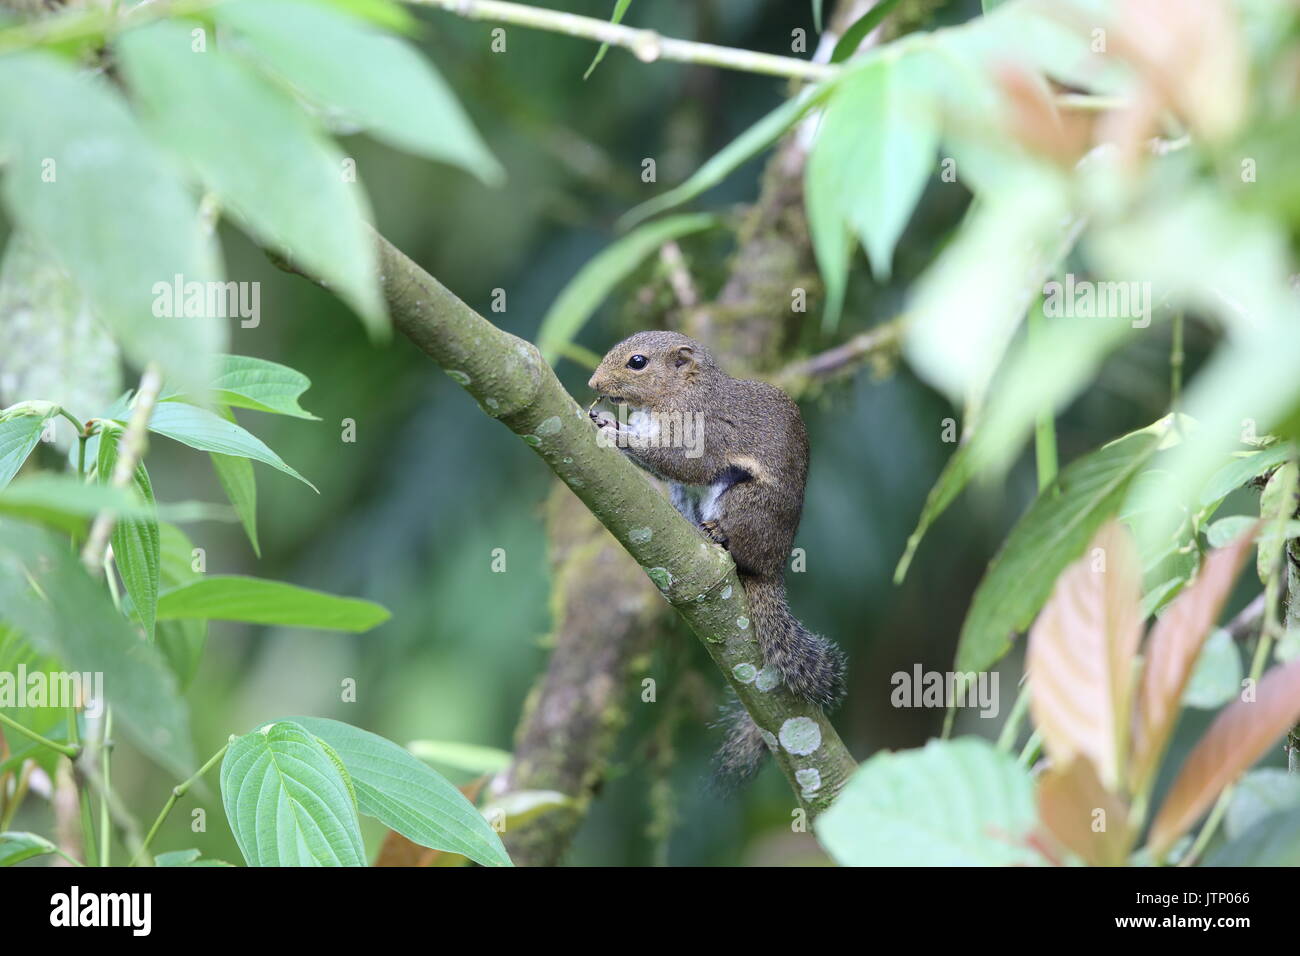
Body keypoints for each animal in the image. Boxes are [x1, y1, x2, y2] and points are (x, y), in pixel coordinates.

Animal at [587, 330, 845, 783]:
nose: (593, 385)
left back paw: (717, 535)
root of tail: (770, 566)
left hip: (744, 503)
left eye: (637, 362)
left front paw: (615, 430)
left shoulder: (702, 433)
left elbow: (681, 462)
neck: (679, 393)